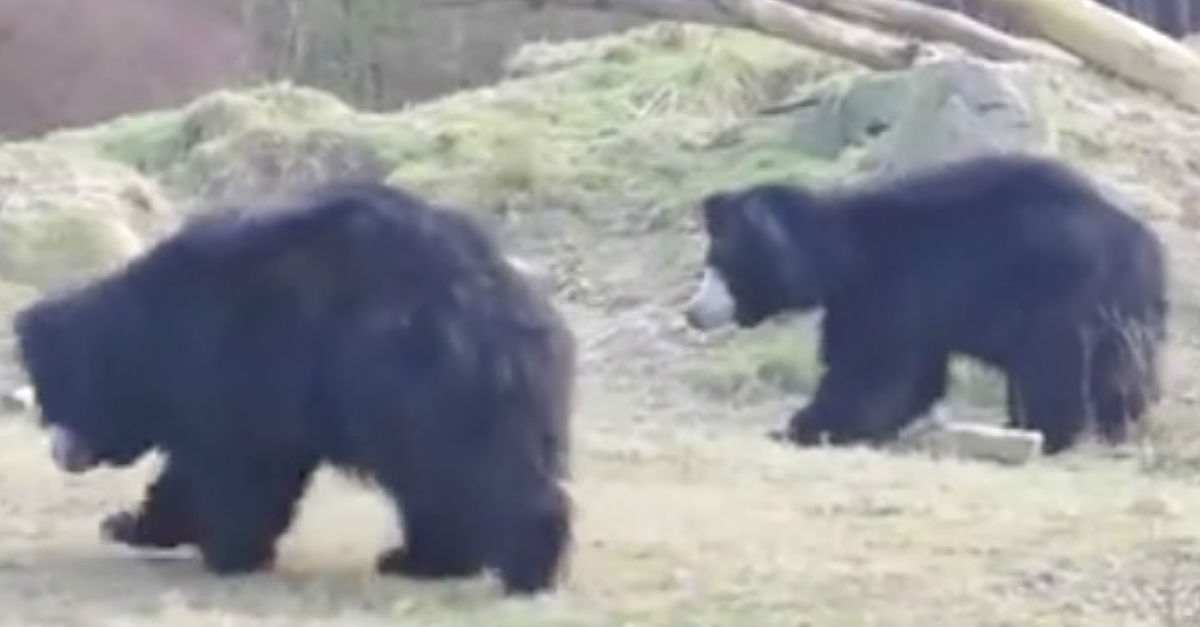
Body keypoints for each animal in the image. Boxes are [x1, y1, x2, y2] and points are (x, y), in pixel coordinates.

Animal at [13, 181, 576, 595]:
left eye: (54, 399)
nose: (61, 455)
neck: (155, 338)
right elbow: (190, 472)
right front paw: (131, 524)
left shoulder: (242, 363)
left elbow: (240, 468)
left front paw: (227, 553)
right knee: (437, 484)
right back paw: (419, 561)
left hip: (421, 382)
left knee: (475, 470)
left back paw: (526, 571)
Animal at [683, 153, 1168, 455]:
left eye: (720, 266)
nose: (692, 313)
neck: (844, 255)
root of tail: (1147, 246)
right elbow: (910, 379)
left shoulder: (894, 288)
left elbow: (874, 373)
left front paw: (799, 428)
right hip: (1119, 313)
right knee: (1118, 373)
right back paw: (1117, 428)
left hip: (1067, 296)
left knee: (1054, 369)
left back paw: (1046, 433)